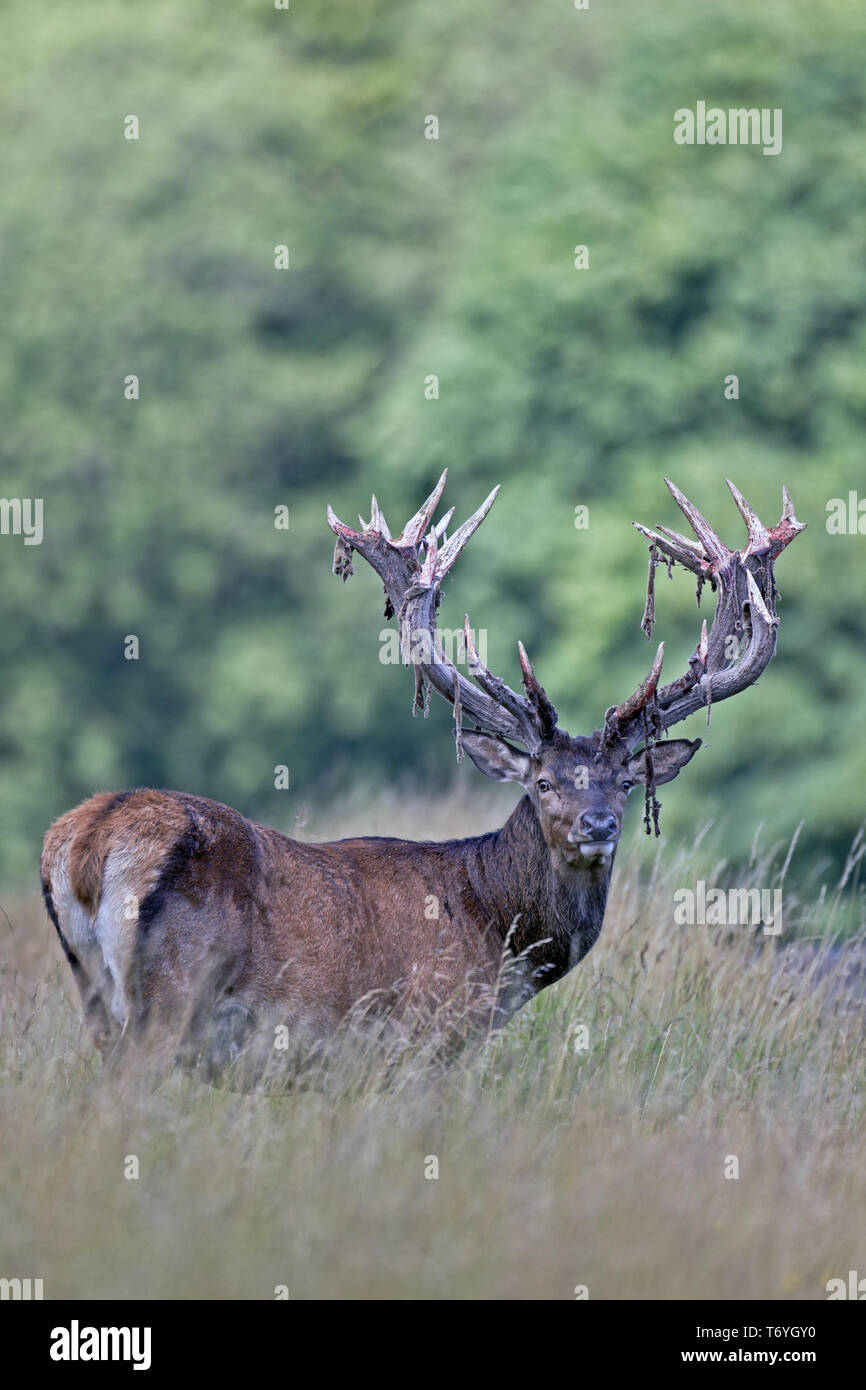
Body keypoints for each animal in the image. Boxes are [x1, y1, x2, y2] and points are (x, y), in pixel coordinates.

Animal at [40, 475, 804, 1080]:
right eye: (543, 783)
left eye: (623, 781)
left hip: (94, 995)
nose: (598, 824)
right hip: (171, 997)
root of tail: (83, 842)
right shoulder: (423, 1040)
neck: (497, 936)